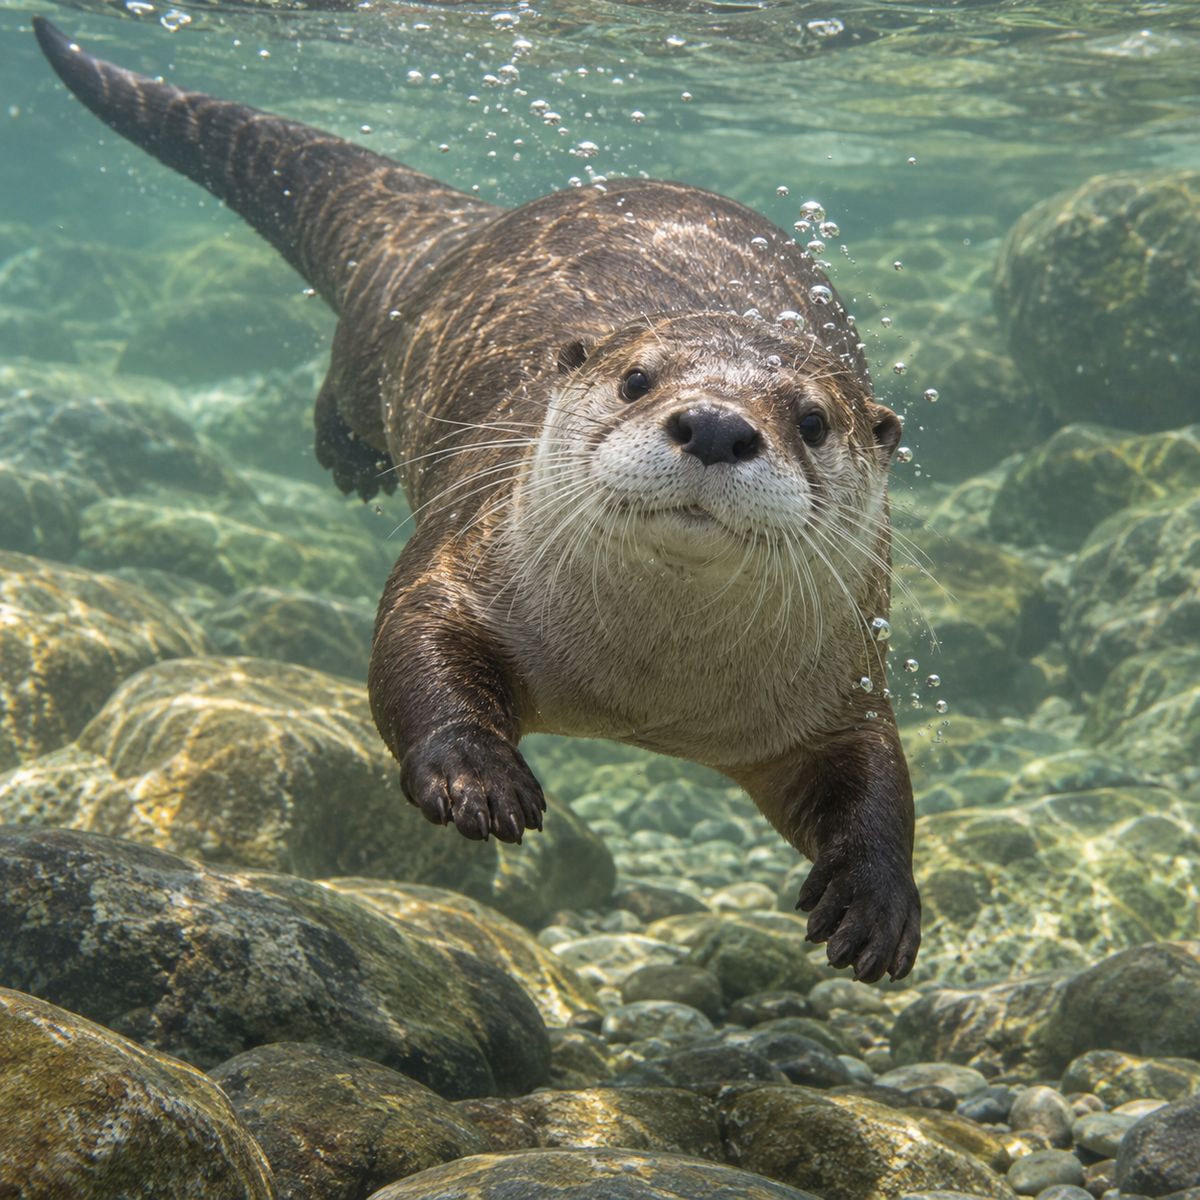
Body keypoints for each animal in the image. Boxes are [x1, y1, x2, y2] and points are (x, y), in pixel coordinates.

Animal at [35, 18, 921, 982]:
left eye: (813, 421)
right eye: (636, 381)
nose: (718, 426)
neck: (643, 693)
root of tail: (473, 223)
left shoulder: (846, 673)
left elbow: (878, 775)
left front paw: (877, 902)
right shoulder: (466, 557)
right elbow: (412, 649)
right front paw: (475, 777)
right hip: (382, 345)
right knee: (346, 382)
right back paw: (348, 459)